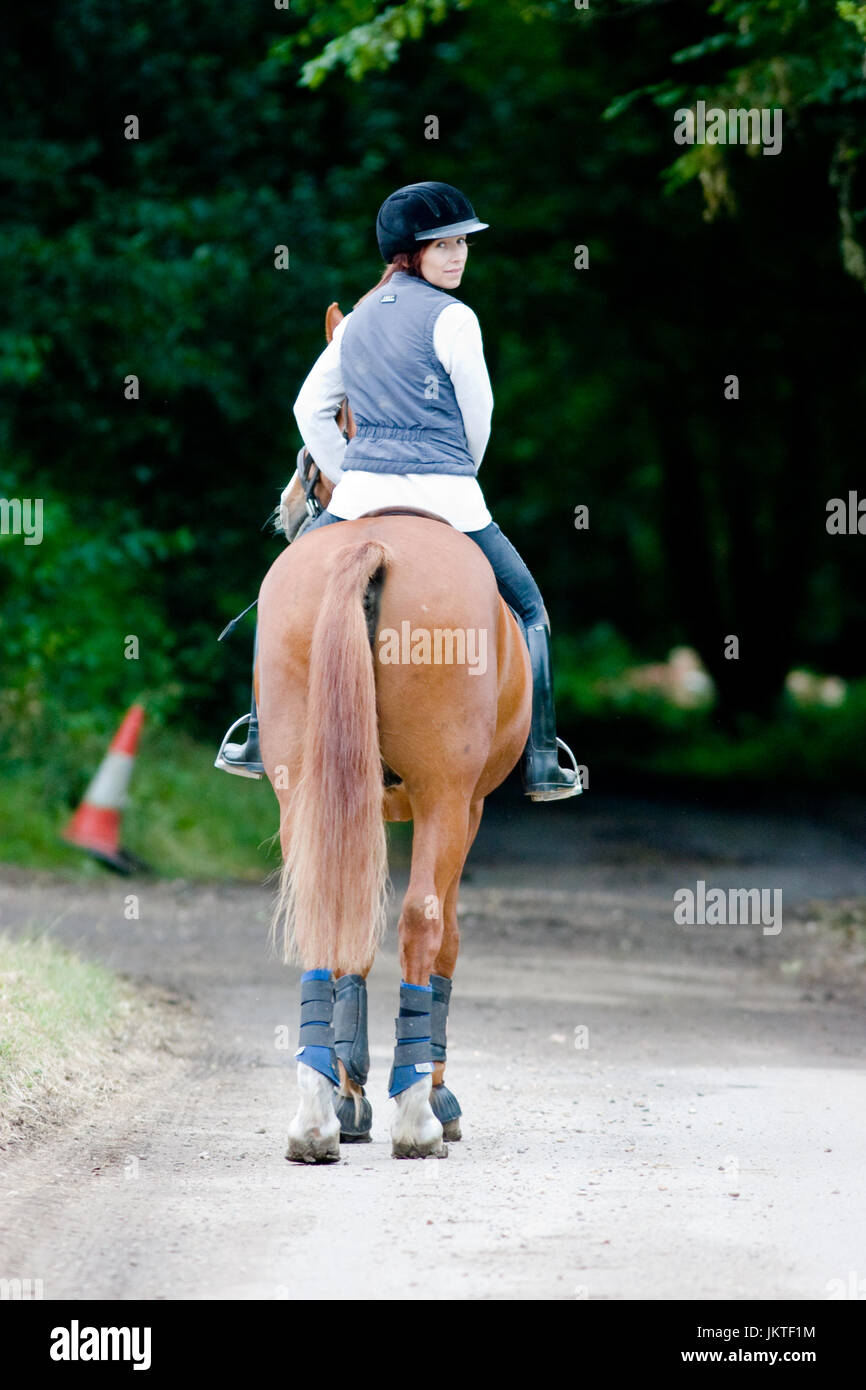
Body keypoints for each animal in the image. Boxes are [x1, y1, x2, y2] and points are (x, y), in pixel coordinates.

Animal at [257, 302, 532, 1161]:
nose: (288, 506)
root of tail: (372, 543)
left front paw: (352, 1099)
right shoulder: (466, 806)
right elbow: (443, 939)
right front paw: (435, 1096)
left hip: (307, 786)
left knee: (328, 909)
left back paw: (318, 1114)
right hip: (446, 795)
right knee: (423, 922)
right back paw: (416, 1113)